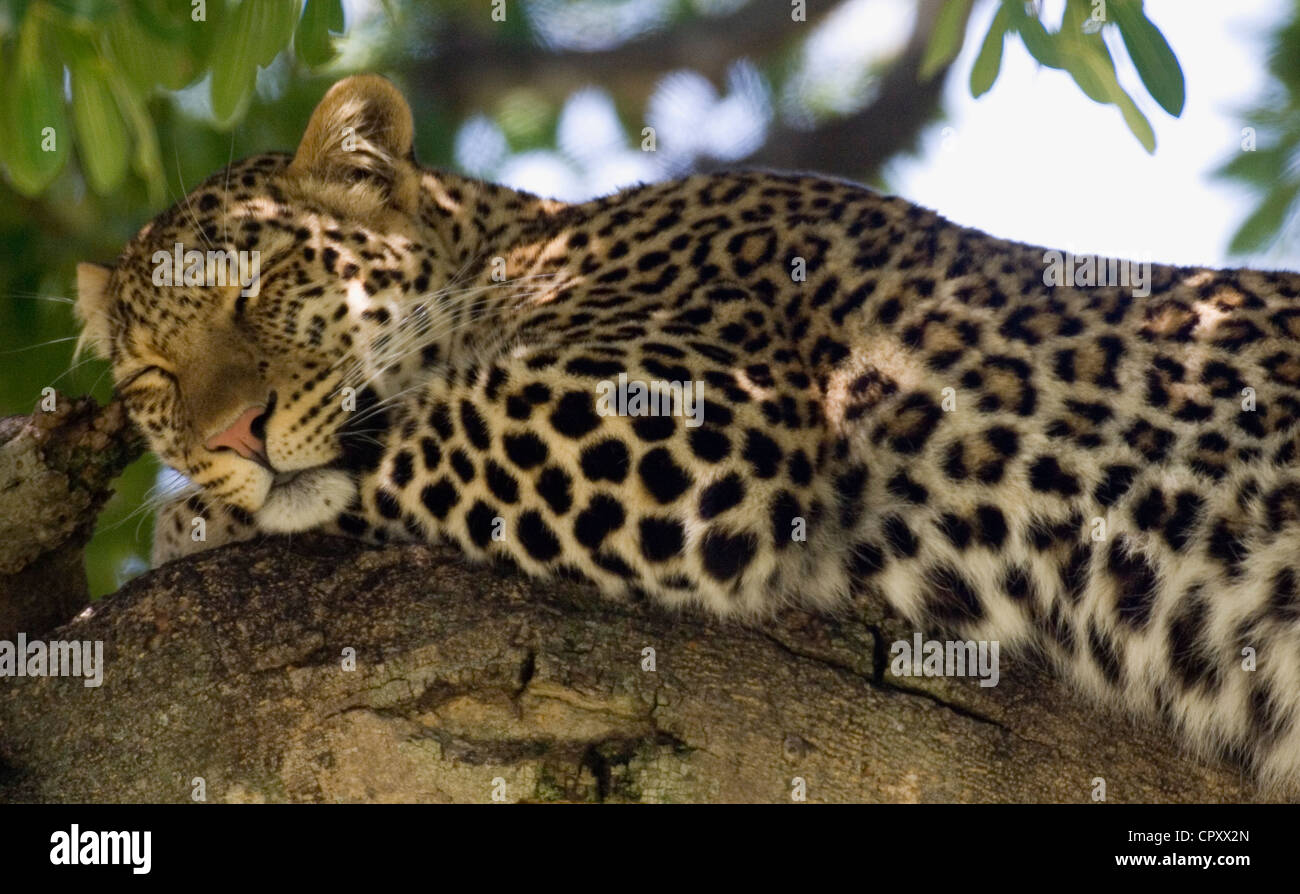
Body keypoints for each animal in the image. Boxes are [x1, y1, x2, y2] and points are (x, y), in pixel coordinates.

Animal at [75, 74, 1300, 796]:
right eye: (150, 380)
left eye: (263, 283)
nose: (231, 435)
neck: (516, 248)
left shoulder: (695, 414)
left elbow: (424, 433)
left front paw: (197, 522)